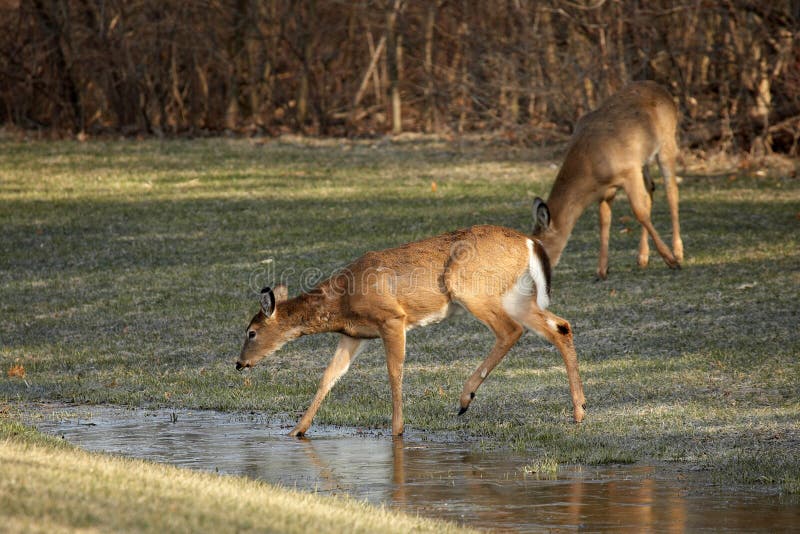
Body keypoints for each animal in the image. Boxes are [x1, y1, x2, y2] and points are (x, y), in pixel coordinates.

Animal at [236, 219, 586, 437]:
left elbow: (395, 371)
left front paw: (397, 429)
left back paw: (465, 398)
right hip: (514, 295)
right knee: (560, 326)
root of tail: (529, 242)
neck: (342, 301)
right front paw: (297, 429)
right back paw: (580, 410)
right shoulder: (354, 335)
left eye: (251, 332)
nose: (239, 363)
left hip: (471, 287)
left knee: (511, 330)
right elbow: (329, 376)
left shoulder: (392, 318)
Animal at [534, 80, 684, 280]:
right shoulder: (608, 188)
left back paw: (678, 252)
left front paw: (671, 260)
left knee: (671, 191)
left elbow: (640, 211)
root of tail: (664, 91)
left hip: (667, 142)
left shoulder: (628, 171)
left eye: (540, 246)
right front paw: (602, 269)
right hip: (644, 161)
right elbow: (604, 220)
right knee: (651, 188)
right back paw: (642, 257)